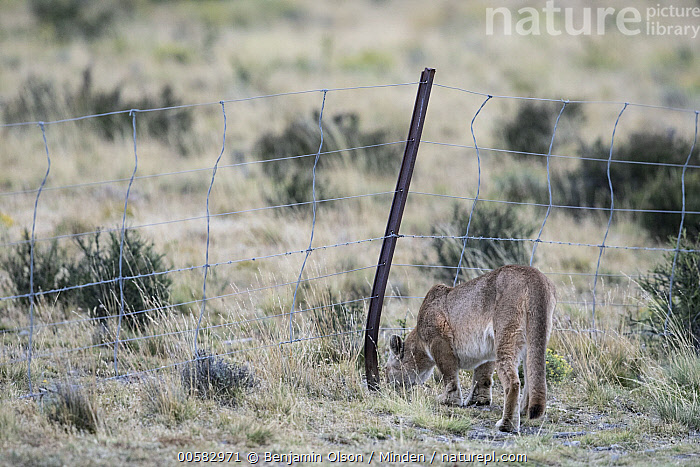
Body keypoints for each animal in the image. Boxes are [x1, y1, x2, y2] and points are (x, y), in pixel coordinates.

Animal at [385, 265, 556, 433]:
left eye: (387, 368)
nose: (386, 385)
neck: (419, 341)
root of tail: (534, 275)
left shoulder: (439, 341)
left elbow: (449, 376)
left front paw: (448, 400)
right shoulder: (488, 348)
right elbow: (482, 376)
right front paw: (478, 400)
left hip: (506, 336)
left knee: (513, 382)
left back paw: (506, 424)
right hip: (532, 341)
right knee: (530, 375)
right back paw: (523, 411)